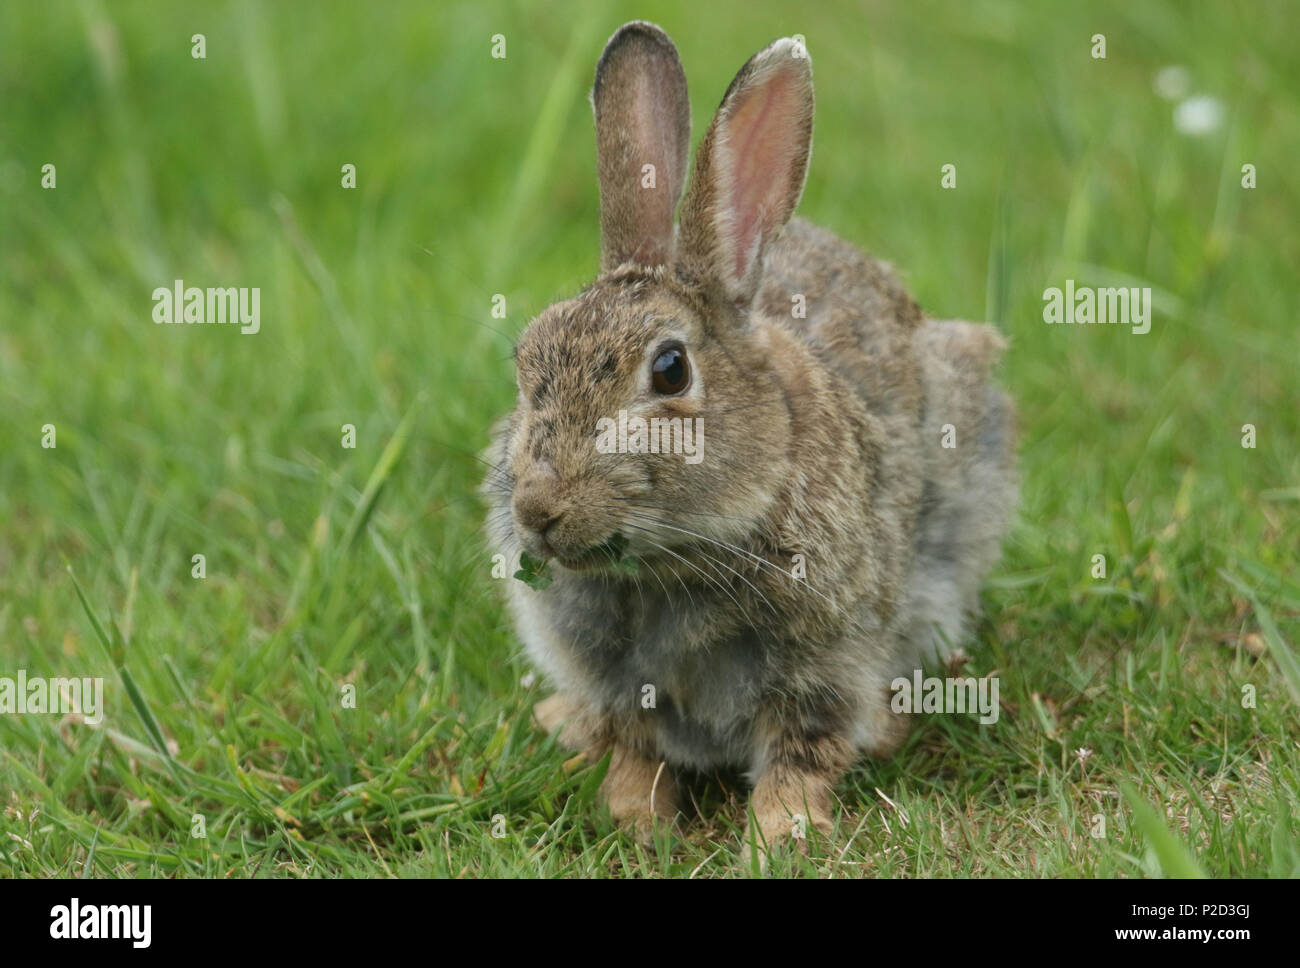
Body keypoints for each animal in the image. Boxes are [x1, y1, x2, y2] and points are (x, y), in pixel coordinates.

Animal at [481, 20, 1017, 852]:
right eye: (528, 359)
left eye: (670, 370)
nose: (538, 511)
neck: (676, 560)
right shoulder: (612, 678)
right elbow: (635, 749)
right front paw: (636, 821)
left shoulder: (827, 662)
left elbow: (804, 750)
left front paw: (784, 836)